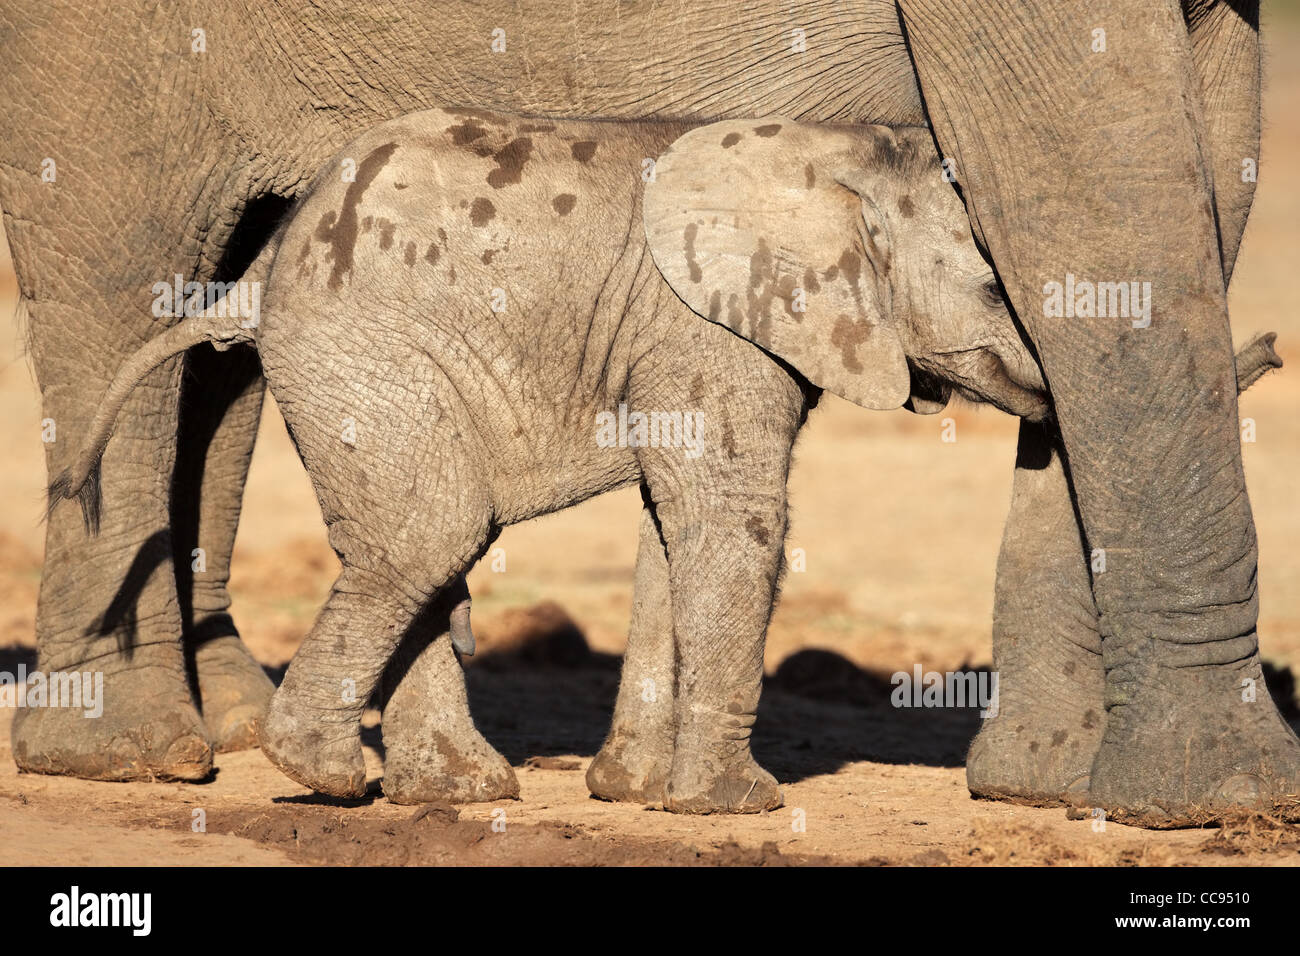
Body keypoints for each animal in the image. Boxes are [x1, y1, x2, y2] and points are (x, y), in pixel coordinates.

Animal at [51, 111, 1064, 809]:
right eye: (991, 287)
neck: (836, 152)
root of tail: (256, 280)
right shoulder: (705, 329)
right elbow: (733, 520)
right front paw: (738, 805)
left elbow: (670, 533)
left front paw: (636, 795)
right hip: (364, 351)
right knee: (431, 533)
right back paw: (331, 778)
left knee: (413, 543)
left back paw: (459, 792)